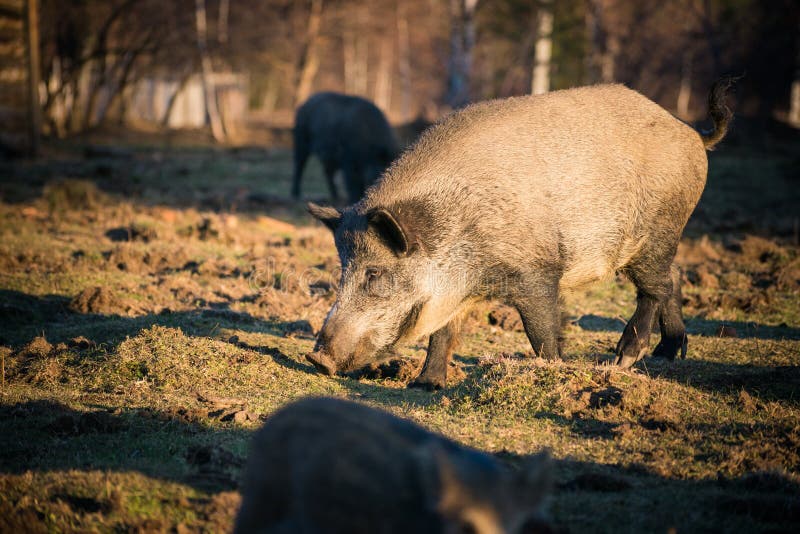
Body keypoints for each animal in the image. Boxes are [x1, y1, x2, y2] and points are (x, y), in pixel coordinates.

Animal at [306, 80, 733, 389]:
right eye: (343, 270)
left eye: (374, 273)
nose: (316, 358)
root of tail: (691, 133)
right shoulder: (453, 292)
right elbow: (442, 334)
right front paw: (425, 386)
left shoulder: (538, 272)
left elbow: (540, 331)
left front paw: (555, 371)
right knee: (672, 280)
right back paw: (667, 353)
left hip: (656, 232)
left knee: (655, 288)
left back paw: (625, 358)